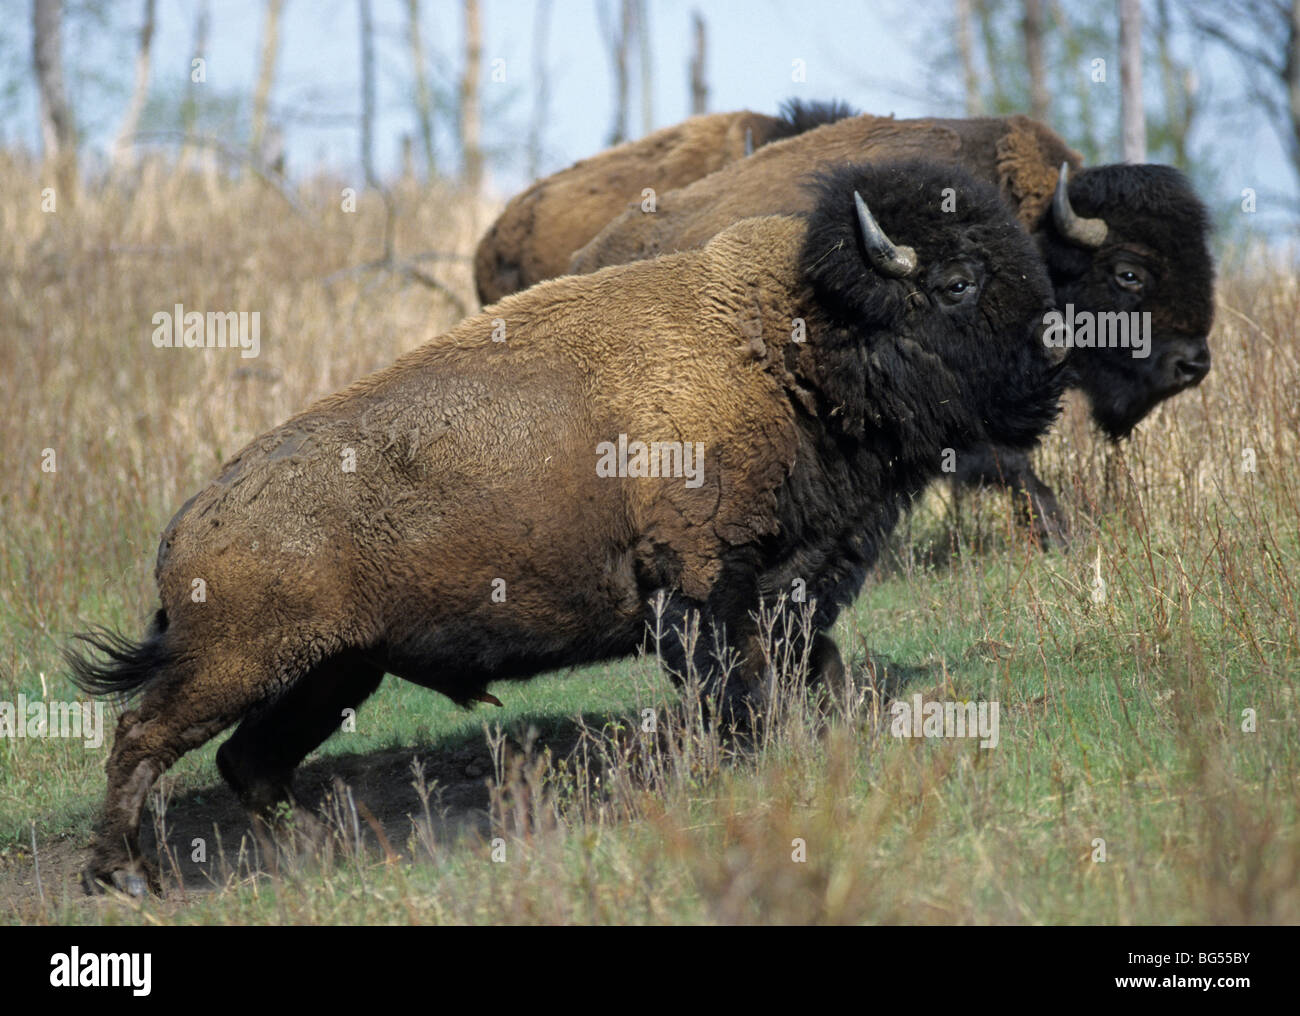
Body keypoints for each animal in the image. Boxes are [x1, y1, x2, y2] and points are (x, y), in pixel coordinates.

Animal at [69, 160, 1064, 897]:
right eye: (958, 281)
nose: (1055, 368)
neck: (797, 342)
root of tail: (185, 525)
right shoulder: (700, 594)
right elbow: (739, 694)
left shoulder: (791, 587)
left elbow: (811, 671)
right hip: (243, 664)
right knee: (143, 737)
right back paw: (125, 874)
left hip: (333, 671)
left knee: (250, 762)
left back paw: (326, 845)